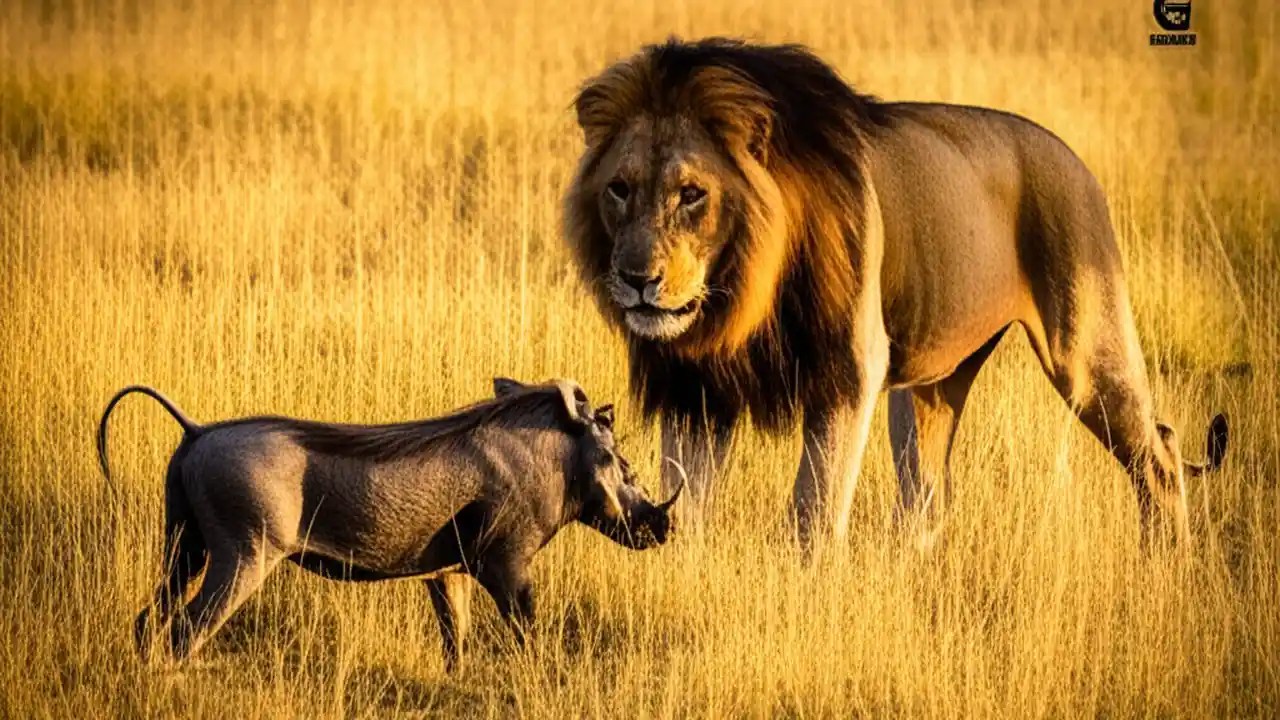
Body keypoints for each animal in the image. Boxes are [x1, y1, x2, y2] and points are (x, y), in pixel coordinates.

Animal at [564, 38, 1229, 549]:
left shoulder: (848, 370)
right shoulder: (692, 387)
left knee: (1160, 453)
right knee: (926, 497)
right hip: (931, 387)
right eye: (620, 188)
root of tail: (1074, 160)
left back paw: (1166, 564)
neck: (740, 297)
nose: (636, 279)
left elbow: (813, 512)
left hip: (1085, 352)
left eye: (692, 194)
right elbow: (688, 505)